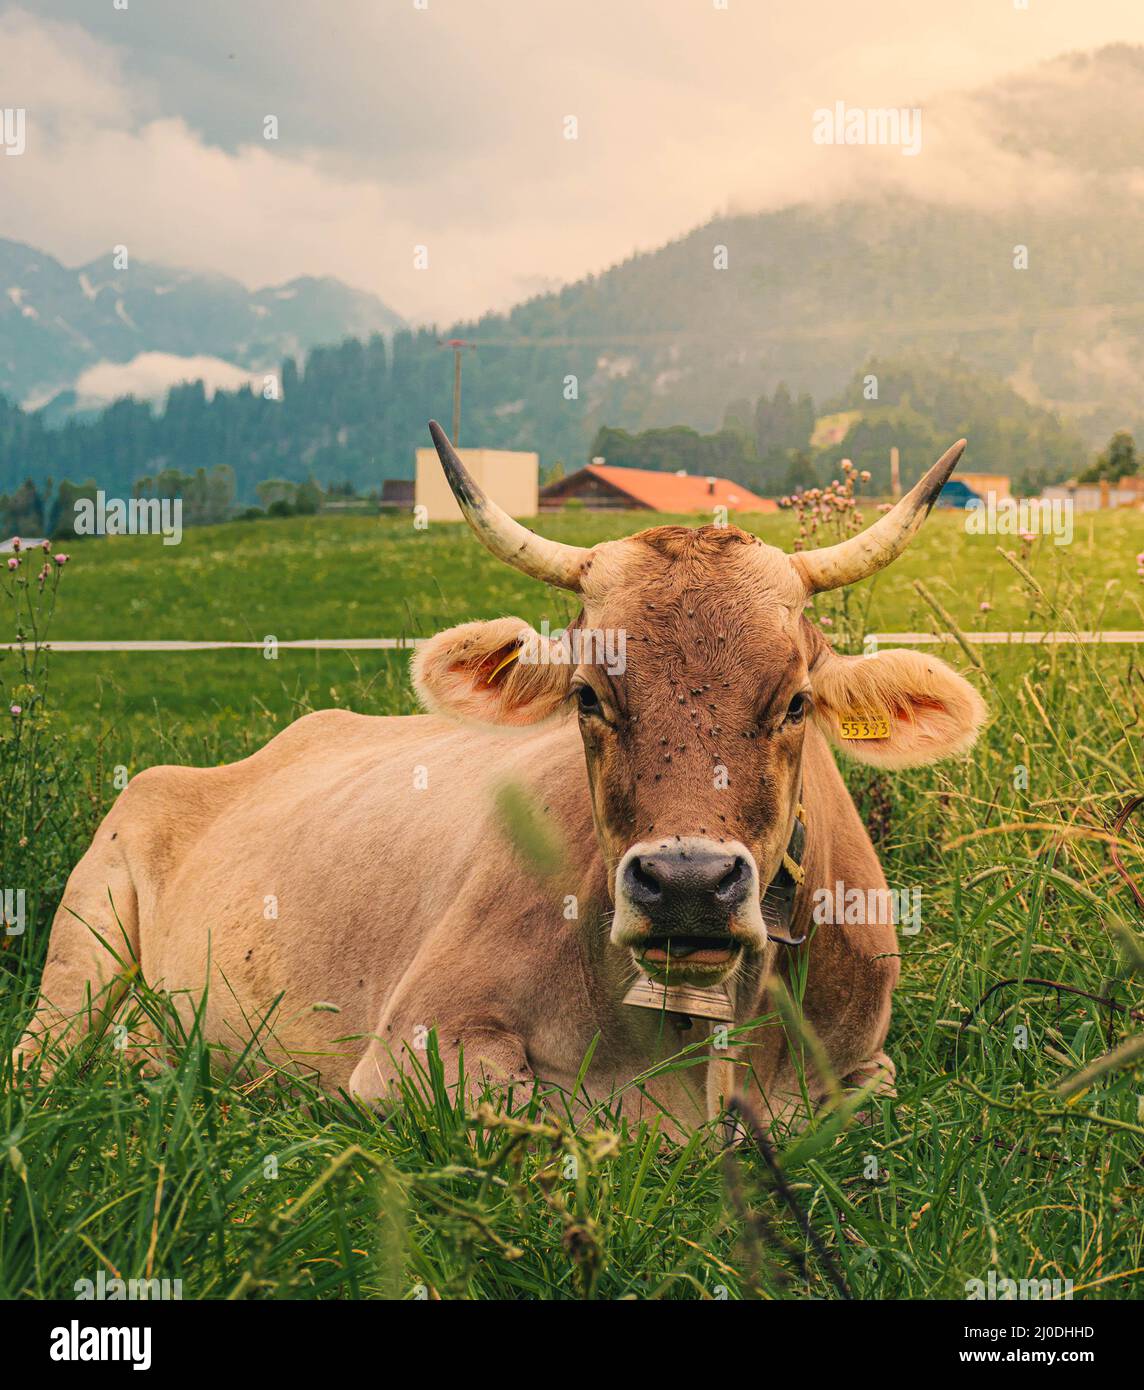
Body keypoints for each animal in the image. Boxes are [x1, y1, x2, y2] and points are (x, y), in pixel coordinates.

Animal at [16, 423, 986, 1136]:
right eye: (589, 695)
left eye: (794, 702)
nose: (686, 884)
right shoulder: (417, 1042)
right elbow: (548, 1122)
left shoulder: (869, 1069)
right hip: (84, 940)